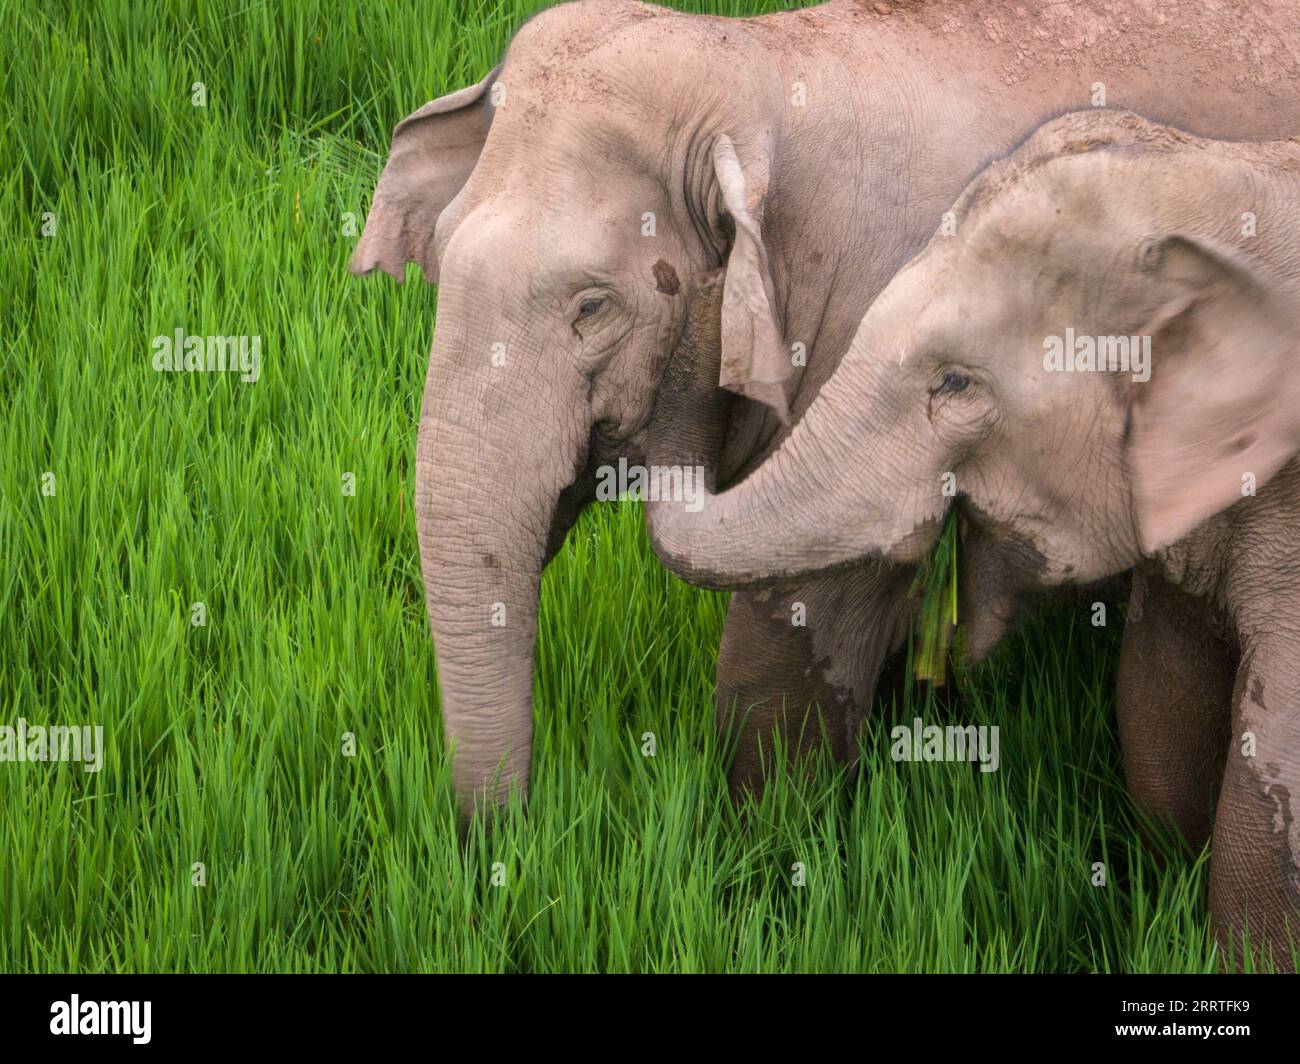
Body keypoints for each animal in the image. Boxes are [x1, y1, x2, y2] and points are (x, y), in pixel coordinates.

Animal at [350, 0, 1300, 812]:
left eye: (593, 308)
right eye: (439, 258)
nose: (504, 846)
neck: (764, 62)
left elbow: (811, 605)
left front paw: (764, 851)